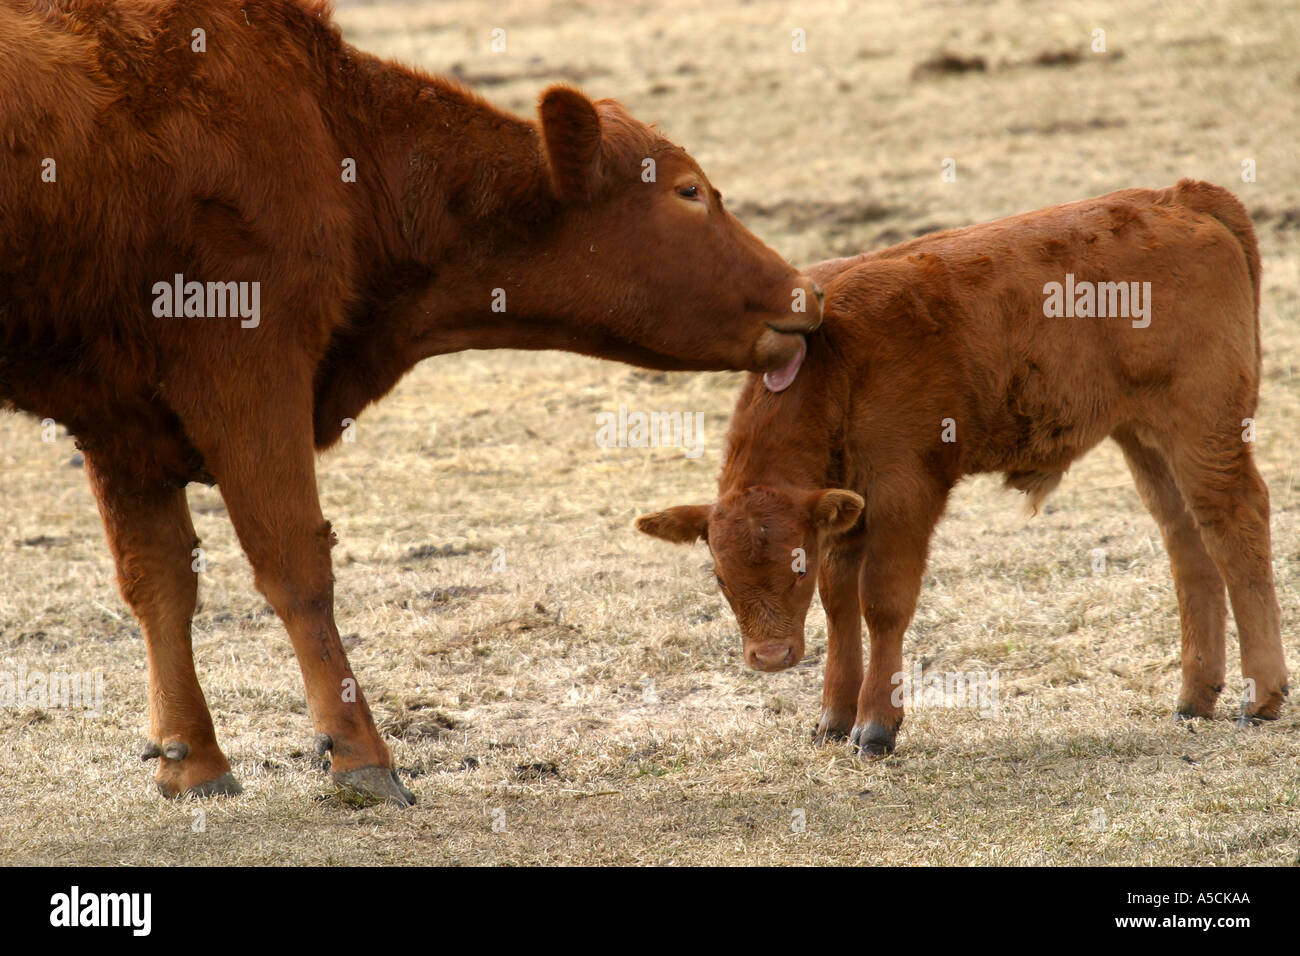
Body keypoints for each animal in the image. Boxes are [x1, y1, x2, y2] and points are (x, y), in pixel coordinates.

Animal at [0, 0, 822, 805]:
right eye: (688, 190)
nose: (806, 291)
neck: (329, 133)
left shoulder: (118, 416)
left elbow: (159, 581)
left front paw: (191, 759)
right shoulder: (246, 364)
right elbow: (295, 563)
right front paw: (358, 752)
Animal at [638, 180, 1289, 756]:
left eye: (795, 566)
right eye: (721, 579)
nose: (769, 658)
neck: (836, 354)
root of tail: (1176, 196)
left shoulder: (905, 489)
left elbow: (883, 601)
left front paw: (876, 725)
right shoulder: (844, 507)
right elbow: (840, 603)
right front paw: (833, 716)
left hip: (1205, 423)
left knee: (1235, 523)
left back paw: (1261, 697)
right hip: (1146, 436)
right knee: (1187, 538)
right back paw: (1195, 695)